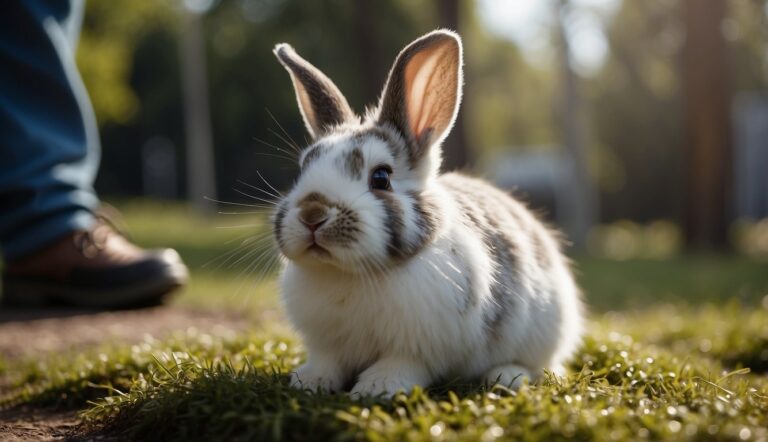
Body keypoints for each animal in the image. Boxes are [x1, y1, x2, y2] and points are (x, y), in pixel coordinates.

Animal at [271, 29, 584, 397]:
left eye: (381, 177)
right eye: (302, 169)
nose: (313, 213)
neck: (350, 274)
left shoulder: (418, 346)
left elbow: (401, 363)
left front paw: (376, 387)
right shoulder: (327, 344)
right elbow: (326, 361)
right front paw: (309, 381)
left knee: (541, 366)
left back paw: (507, 375)